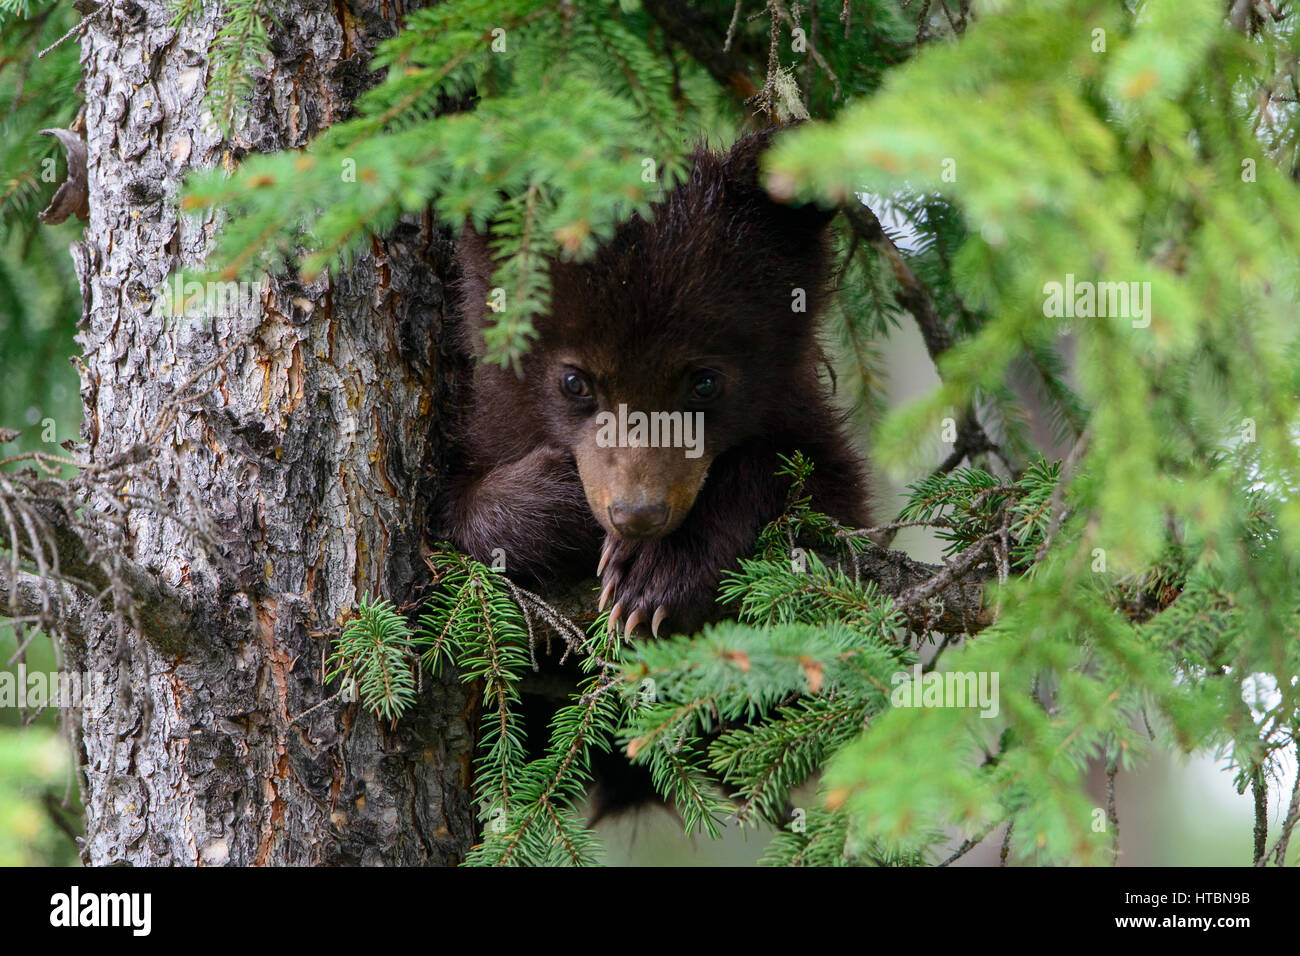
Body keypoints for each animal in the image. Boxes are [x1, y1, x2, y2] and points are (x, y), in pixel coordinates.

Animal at [443, 127, 869, 638]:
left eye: (705, 382)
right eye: (575, 381)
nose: (637, 514)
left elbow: (815, 487)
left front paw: (651, 577)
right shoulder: (490, 425)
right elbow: (461, 512)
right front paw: (559, 496)